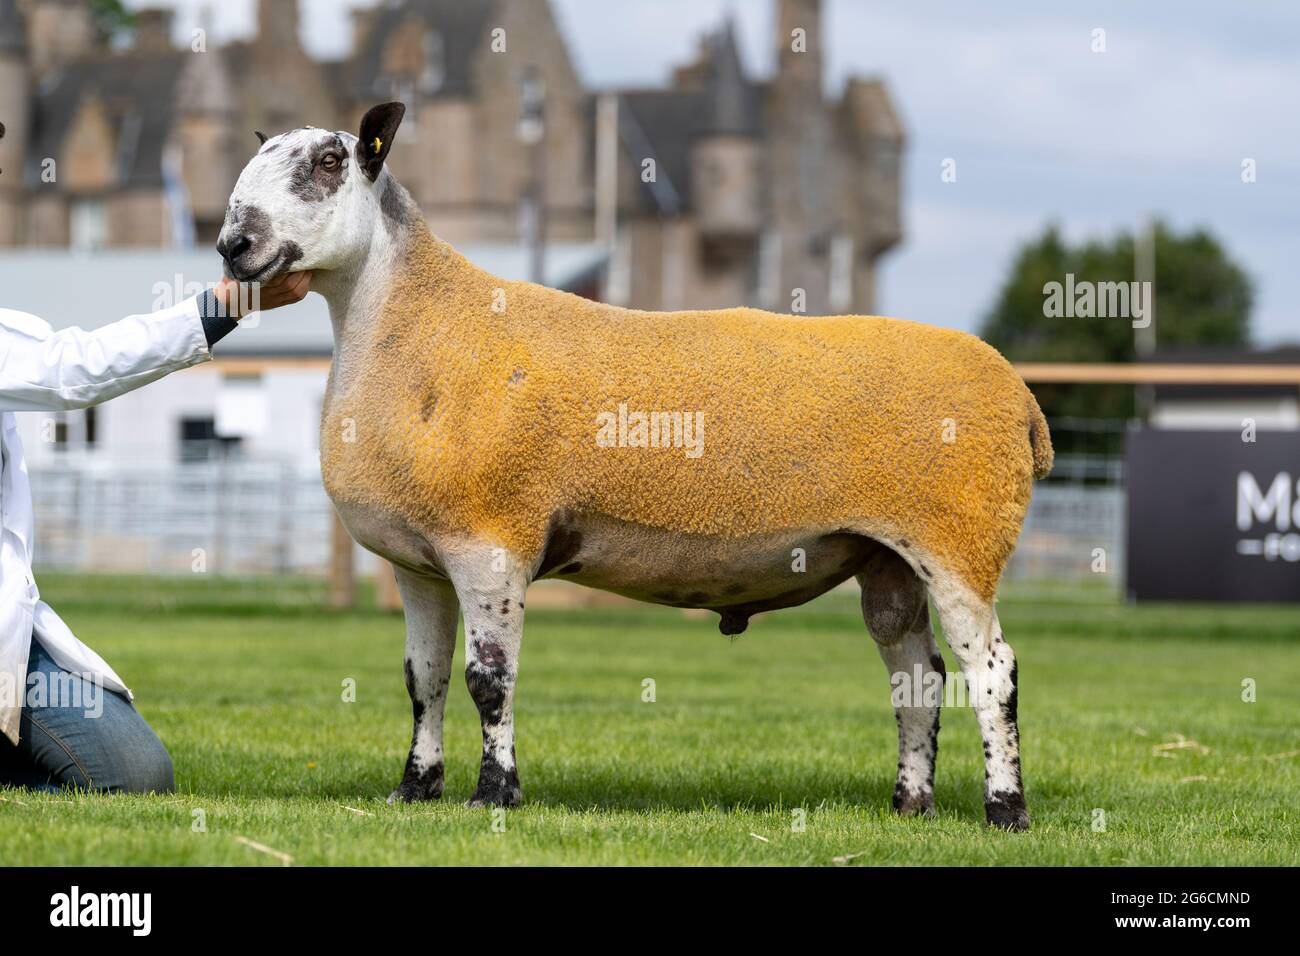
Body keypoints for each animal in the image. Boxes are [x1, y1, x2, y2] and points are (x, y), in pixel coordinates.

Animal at [217, 104, 1052, 829]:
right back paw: (911, 805)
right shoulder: (420, 564)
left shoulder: (492, 543)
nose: (233, 245)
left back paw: (1004, 811)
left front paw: (495, 794)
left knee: (994, 672)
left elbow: (489, 681)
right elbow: (424, 681)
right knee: (918, 676)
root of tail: (1022, 402)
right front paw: (414, 790)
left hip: (961, 540)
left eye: (329, 163)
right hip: (888, 558)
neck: (418, 327)